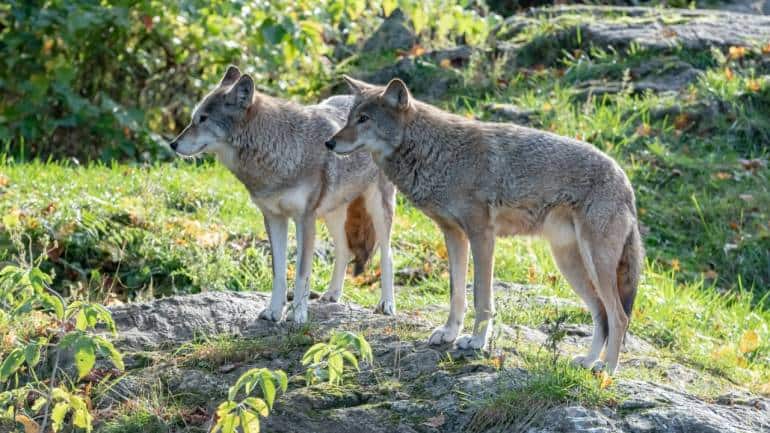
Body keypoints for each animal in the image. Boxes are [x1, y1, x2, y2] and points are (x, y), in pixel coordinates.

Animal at [169, 66, 397, 324]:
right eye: (193, 118)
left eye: (203, 119)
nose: (173, 144)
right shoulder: (273, 218)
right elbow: (278, 271)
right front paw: (274, 312)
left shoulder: (305, 219)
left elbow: (301, 272)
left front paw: (297, 314)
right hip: (332, 213)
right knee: (344, 250)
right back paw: (332, 295)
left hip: (377, 209)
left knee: (387, 254)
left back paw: (386, 304)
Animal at [325, 76, 643, 374]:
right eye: (350, 117)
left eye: (364, 119)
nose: (329, 143)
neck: (439, 154)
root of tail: (626, 181)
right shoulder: (453, 235)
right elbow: (456, 294)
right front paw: (450, 334)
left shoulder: (482, 235)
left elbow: (481, 297)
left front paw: (476, 342)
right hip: (570, 264)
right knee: (601, 313)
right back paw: (588, 361)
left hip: (594, 263)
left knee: (619, 316)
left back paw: (607, 370)